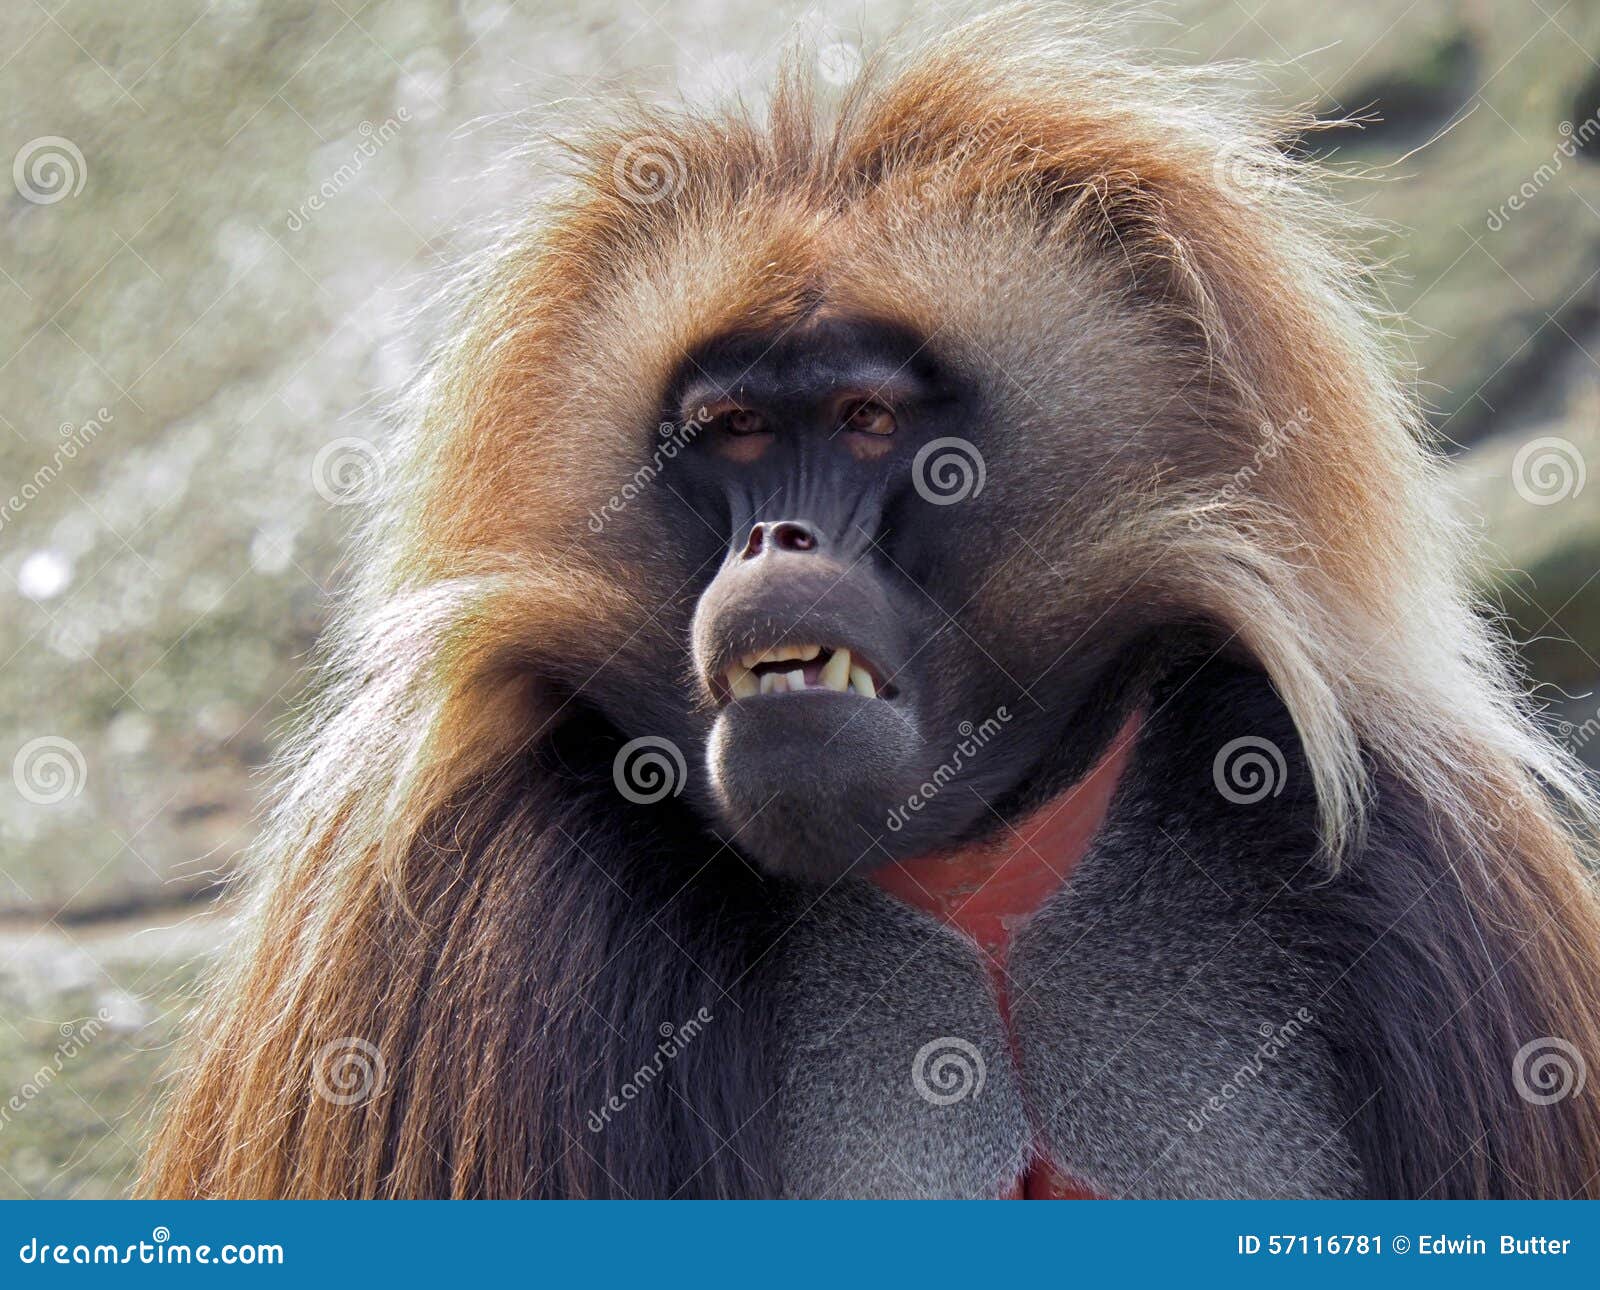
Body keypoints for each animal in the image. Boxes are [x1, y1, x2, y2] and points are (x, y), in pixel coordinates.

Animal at [143, 11, 1600, 1199]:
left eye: (863, 419)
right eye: (733, 429)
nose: (775, 539)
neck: (971, 879)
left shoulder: (1427, 858)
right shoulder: (474, 916)